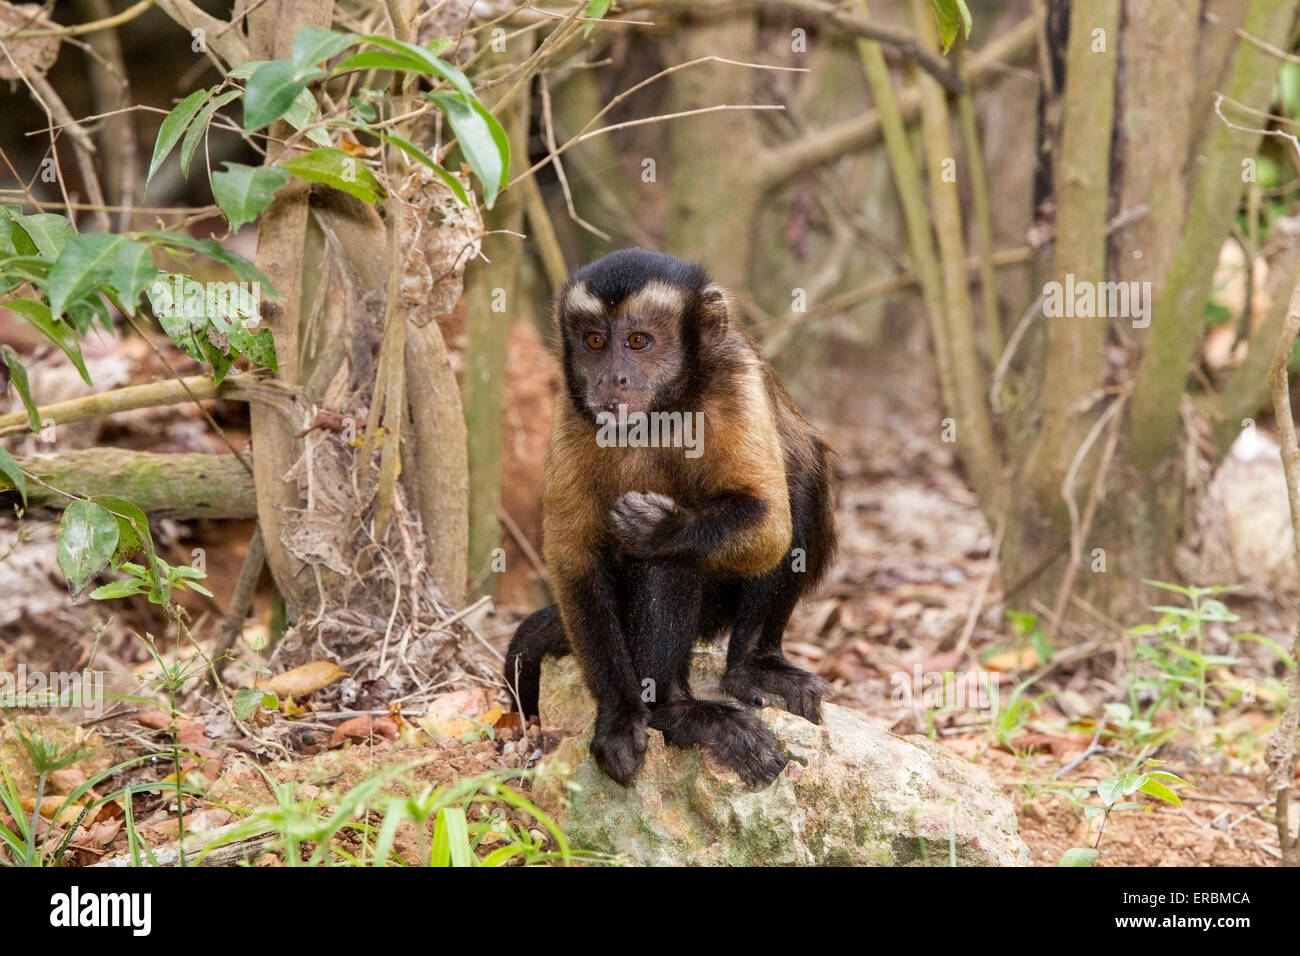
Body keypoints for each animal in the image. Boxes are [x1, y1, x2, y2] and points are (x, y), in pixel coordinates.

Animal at [505, 249, 837, 787]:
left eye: (638, 341)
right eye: (594, 342)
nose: (611, 378)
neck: (661, 413)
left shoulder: (735, 375)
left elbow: (769, 523)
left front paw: (663, 526)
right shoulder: (573, 411)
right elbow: (575, 560)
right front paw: (620, 714)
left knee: (799, 475)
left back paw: (748, 665)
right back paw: (672, 709)